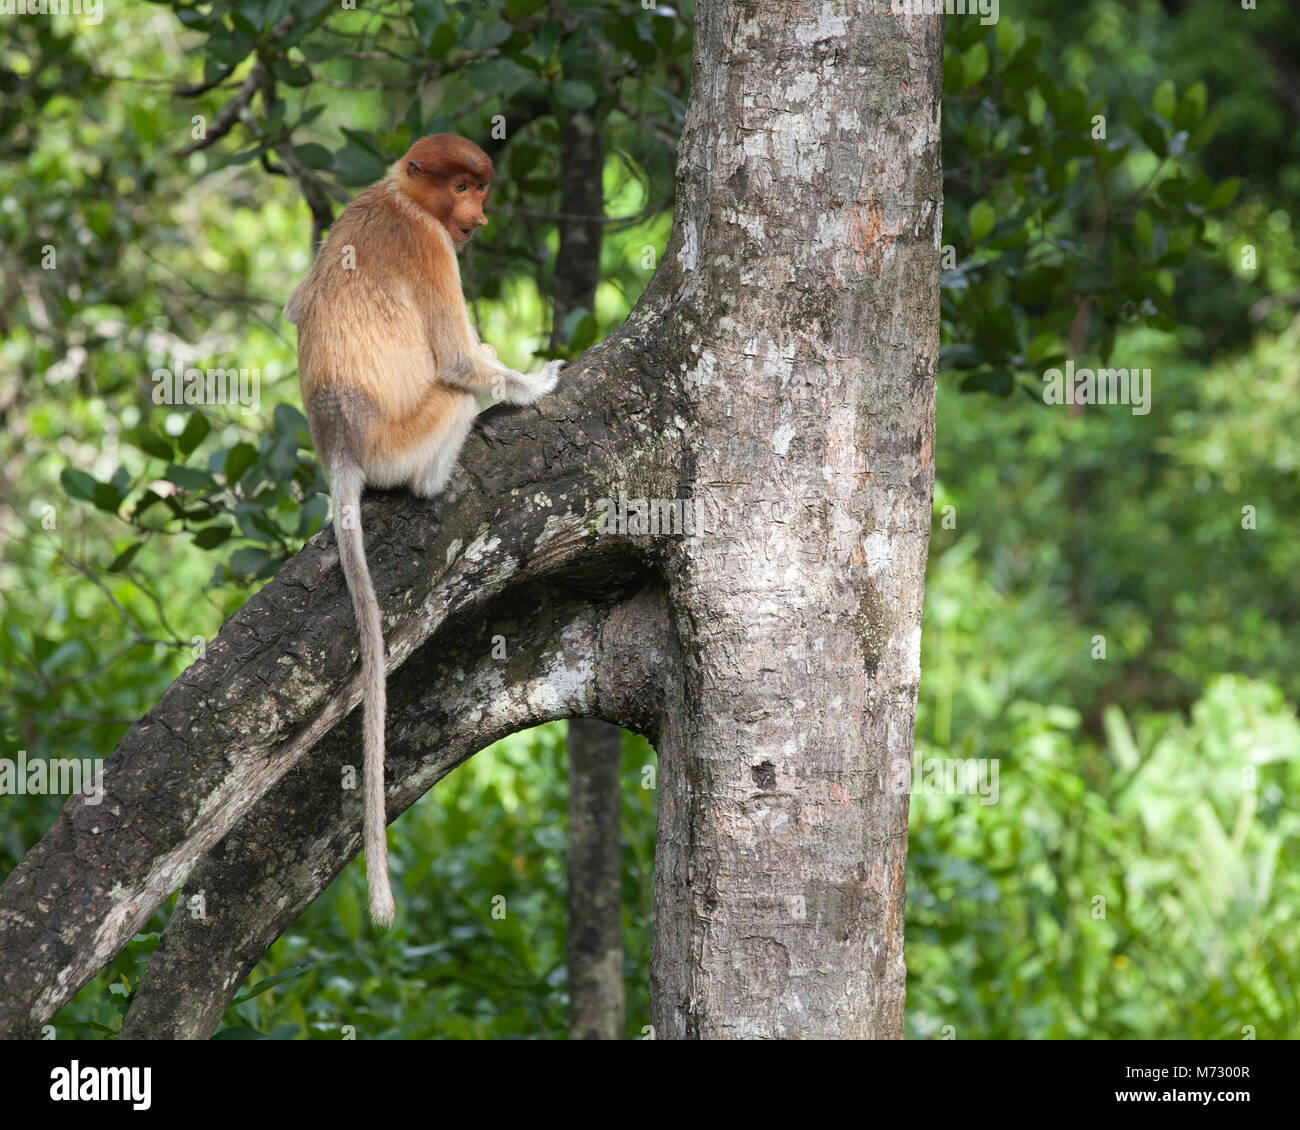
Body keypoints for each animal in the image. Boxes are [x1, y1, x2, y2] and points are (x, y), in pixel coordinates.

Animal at [283, 134, 564, 928]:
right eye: (462, 187)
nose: (481, 215)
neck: (403, 197)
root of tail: (344, 447)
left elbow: (294, 303)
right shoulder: (433, 246)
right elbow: (459, 355)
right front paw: (539, 380)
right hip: (415, 432)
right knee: (459, 390)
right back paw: (442, 473)